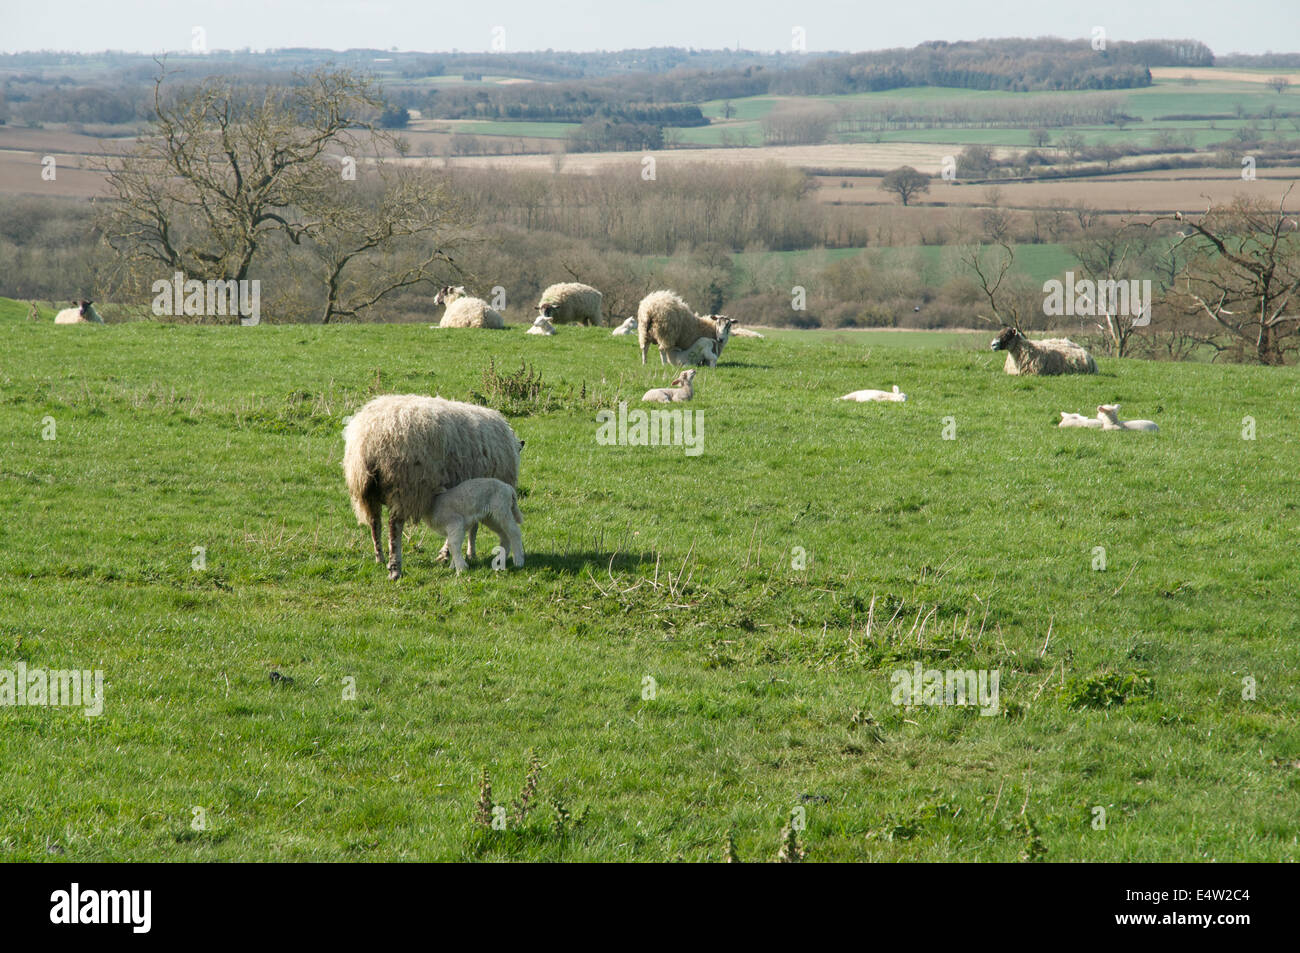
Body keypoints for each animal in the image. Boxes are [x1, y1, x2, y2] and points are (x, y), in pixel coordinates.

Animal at [343, 394, 521, 579]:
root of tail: (371, 438)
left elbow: (469, 526)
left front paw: (458, 554)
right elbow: (471, 527)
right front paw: (463, 553)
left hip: (365, 489)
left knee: (374, 523)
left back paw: (380, 557)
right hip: (405, 486)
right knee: (394, 526)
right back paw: (395, 567)